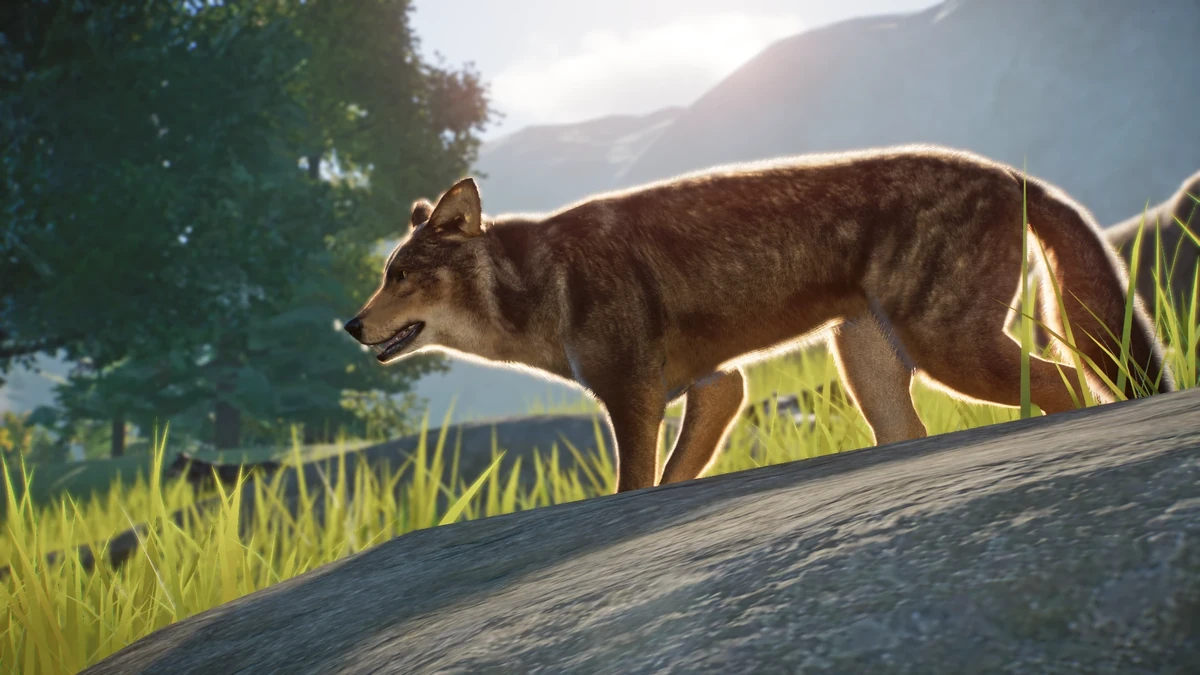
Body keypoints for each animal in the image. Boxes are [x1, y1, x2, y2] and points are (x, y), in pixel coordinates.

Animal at [343, 145, 1175, 493]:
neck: (536, 282)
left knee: (1066, 379)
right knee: (916, 431)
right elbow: (671, 478)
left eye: (400, 276)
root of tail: (1012, 173)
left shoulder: (636, 400)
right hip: (870, 364)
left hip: (952, 348)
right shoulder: (721, 387)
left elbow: (631, 486)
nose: (350, 325)